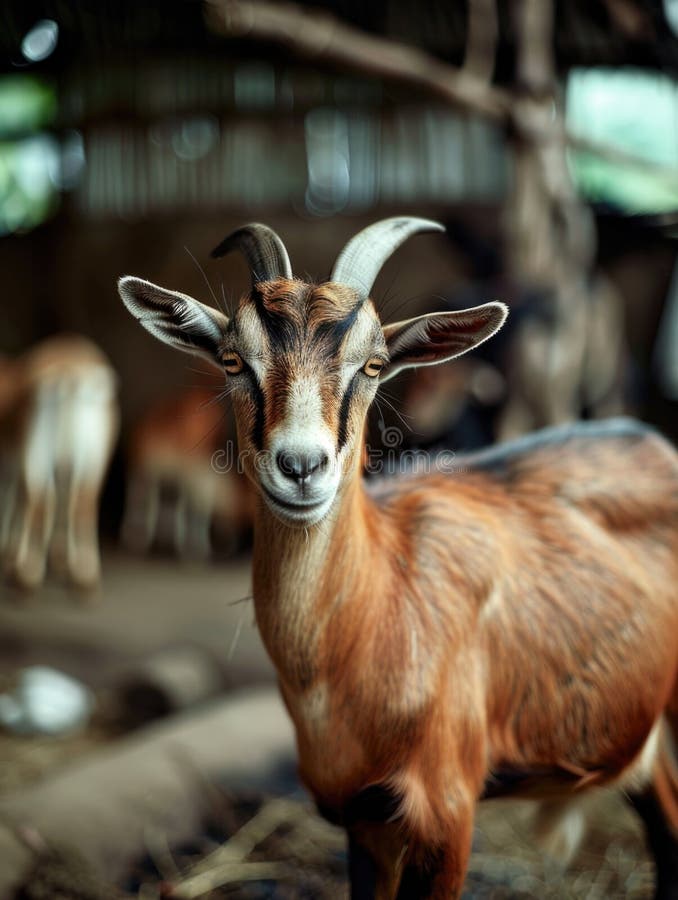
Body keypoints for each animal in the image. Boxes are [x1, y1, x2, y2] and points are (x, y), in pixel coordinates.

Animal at [0, 335, 118, 591]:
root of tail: (70, 373)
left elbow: (13, 499)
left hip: (39, 450)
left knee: (42, 499)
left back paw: (28, 574)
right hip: (91, 454)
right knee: (82, 501)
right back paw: (83, 575)